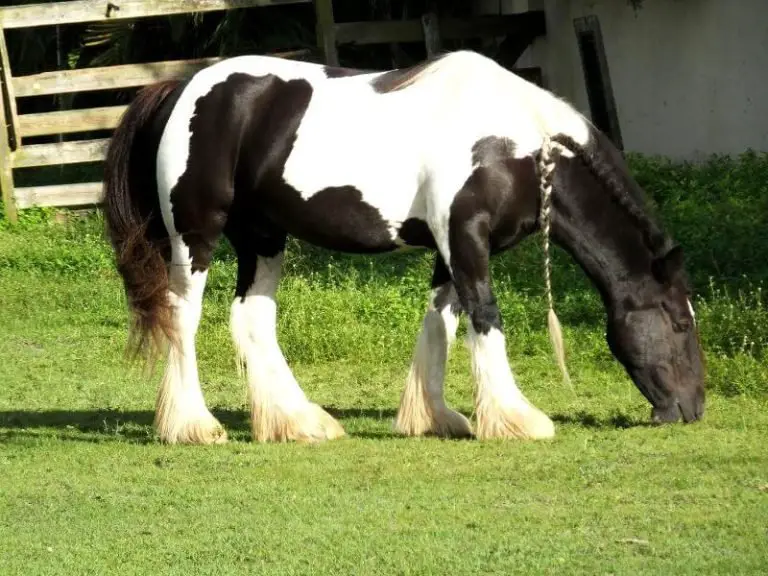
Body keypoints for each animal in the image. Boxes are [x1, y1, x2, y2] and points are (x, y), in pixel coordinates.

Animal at [102, 49, 705, 445]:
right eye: (679, 322)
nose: (692, 408)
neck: (518, 146)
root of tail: (182, 88)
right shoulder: (466, 238)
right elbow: (485, 317)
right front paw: (516, 420)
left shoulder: (452, 248)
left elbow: (442, 320)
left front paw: (435, 416)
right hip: (196, 237)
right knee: (183, 316)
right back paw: (193, 426)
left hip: (264, 237)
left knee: (252, 317)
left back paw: (299, 422)